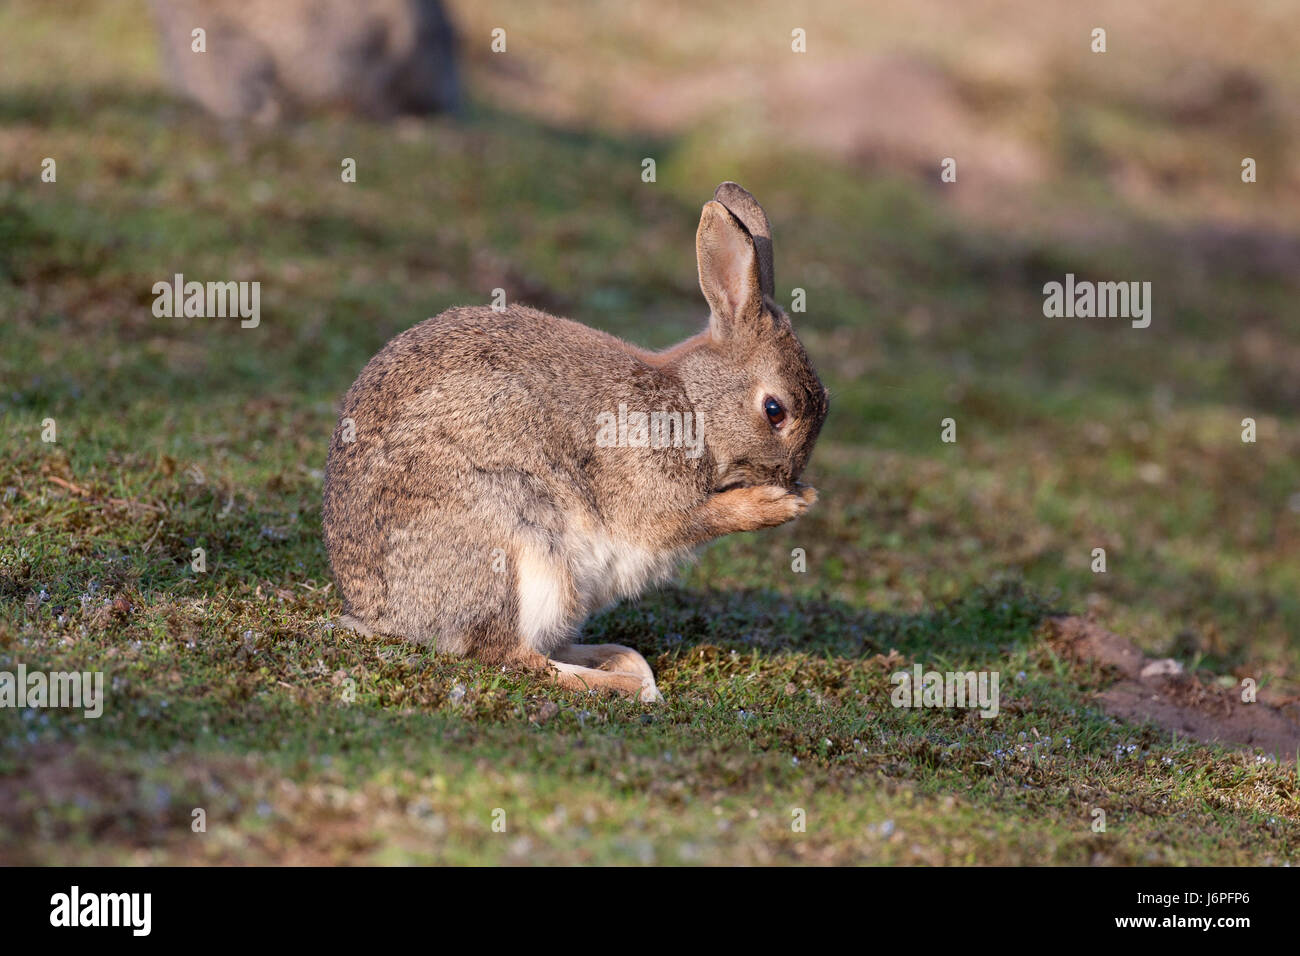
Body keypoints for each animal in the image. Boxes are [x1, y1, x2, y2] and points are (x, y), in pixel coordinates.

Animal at [322, 183, 828, 701]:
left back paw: (624, 660)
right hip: (520, 546)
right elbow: (693, 518)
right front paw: (783, 504)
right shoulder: (649, 494)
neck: (692, 404)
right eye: (775, 410)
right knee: (512, 655)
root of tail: (381, 614)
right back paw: (628, 684)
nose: (789, 476)